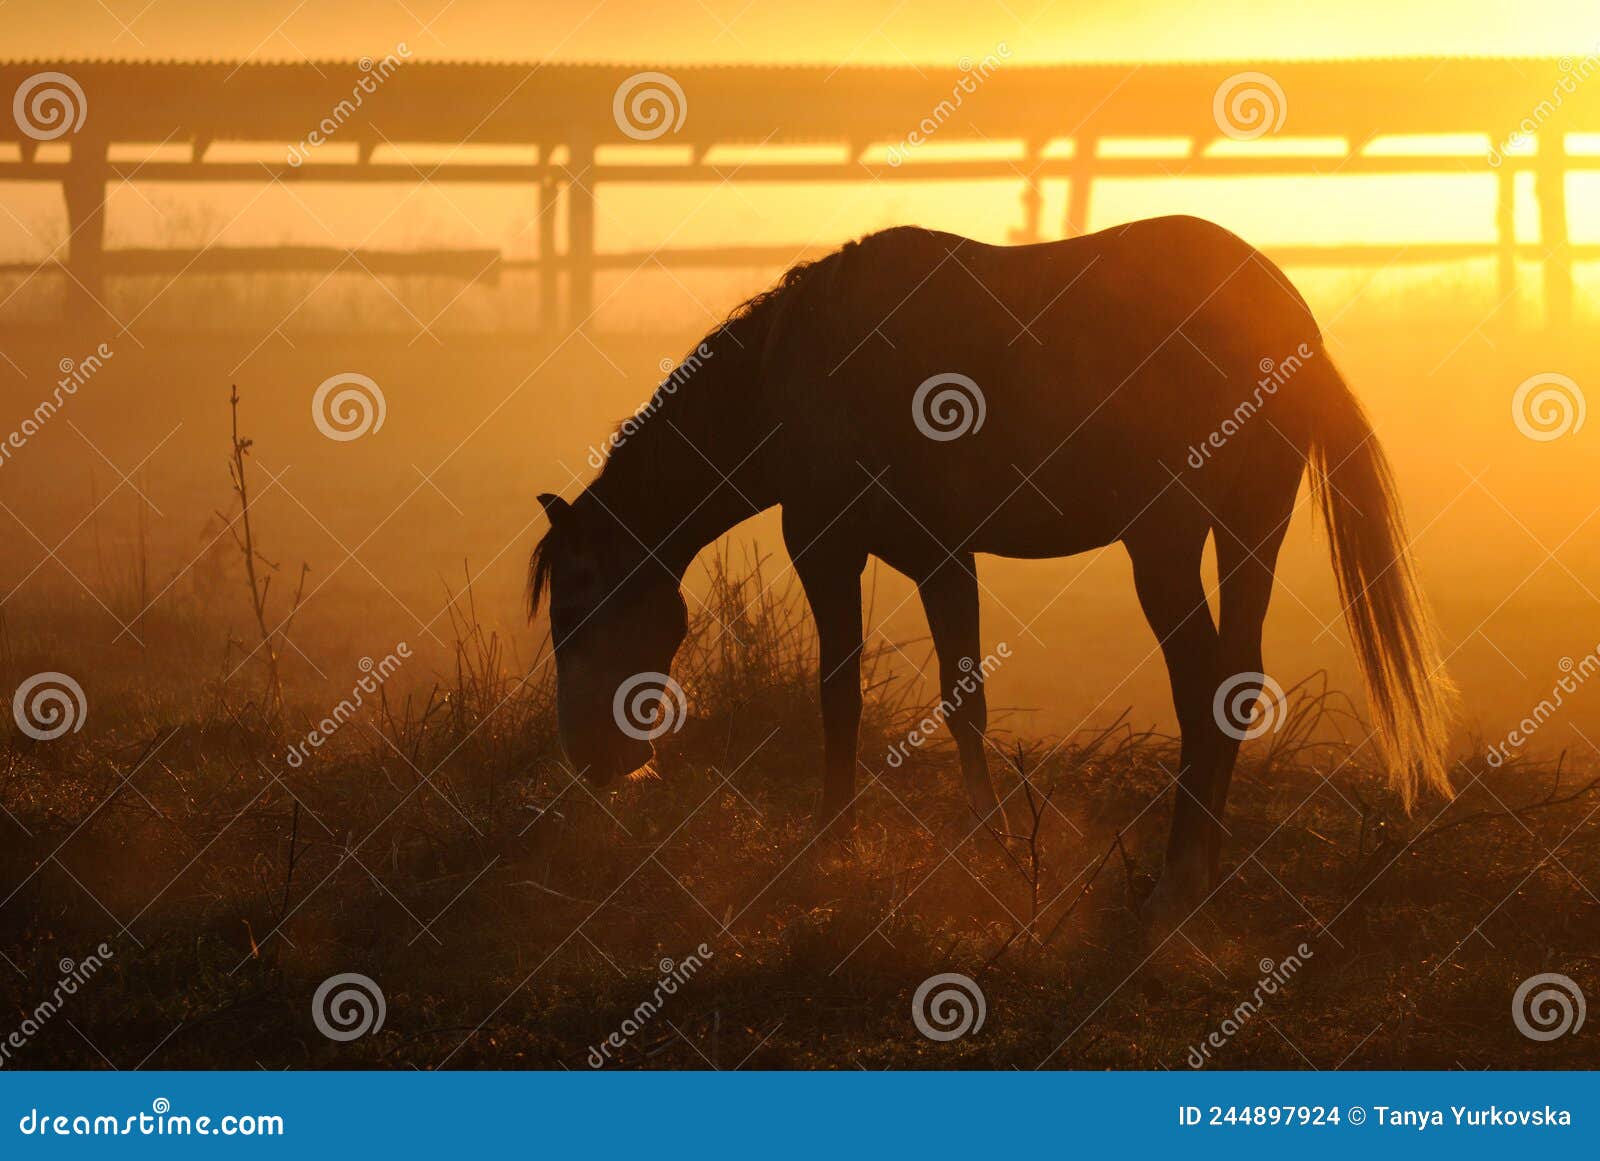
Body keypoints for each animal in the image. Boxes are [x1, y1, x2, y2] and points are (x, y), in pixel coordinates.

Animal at [528, 215, 1454, 925]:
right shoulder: (942, 557)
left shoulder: (826, 545)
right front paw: (991, 846)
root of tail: (1286, 317)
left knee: (1201, 682)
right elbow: (962, 697)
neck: (797, 372)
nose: (592, 757)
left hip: (1164, 544)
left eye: (574, 607)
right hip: (1247, 531)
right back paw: (1204, 868)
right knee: (1235, 679)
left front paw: (835, 841)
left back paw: (1176, 880)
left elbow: (842, 694)